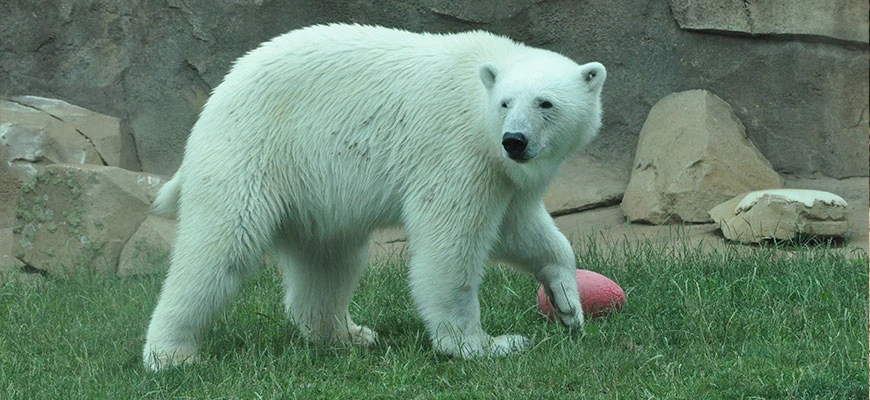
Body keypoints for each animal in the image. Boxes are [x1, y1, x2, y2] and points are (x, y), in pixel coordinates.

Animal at [143, 23, 606, 370]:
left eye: (546, 103)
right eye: (506, 103)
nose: (515, 140)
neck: (477, 88)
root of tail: (213, 103)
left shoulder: (500, 173)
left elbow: (522, 230)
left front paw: (568, 303)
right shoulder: (457, 149)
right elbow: (450, 244)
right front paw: (483, 344)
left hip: (313, 192)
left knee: (329, 260)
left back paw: (349, 335)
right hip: (250, 152)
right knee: (219, 251)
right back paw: (171, 354)